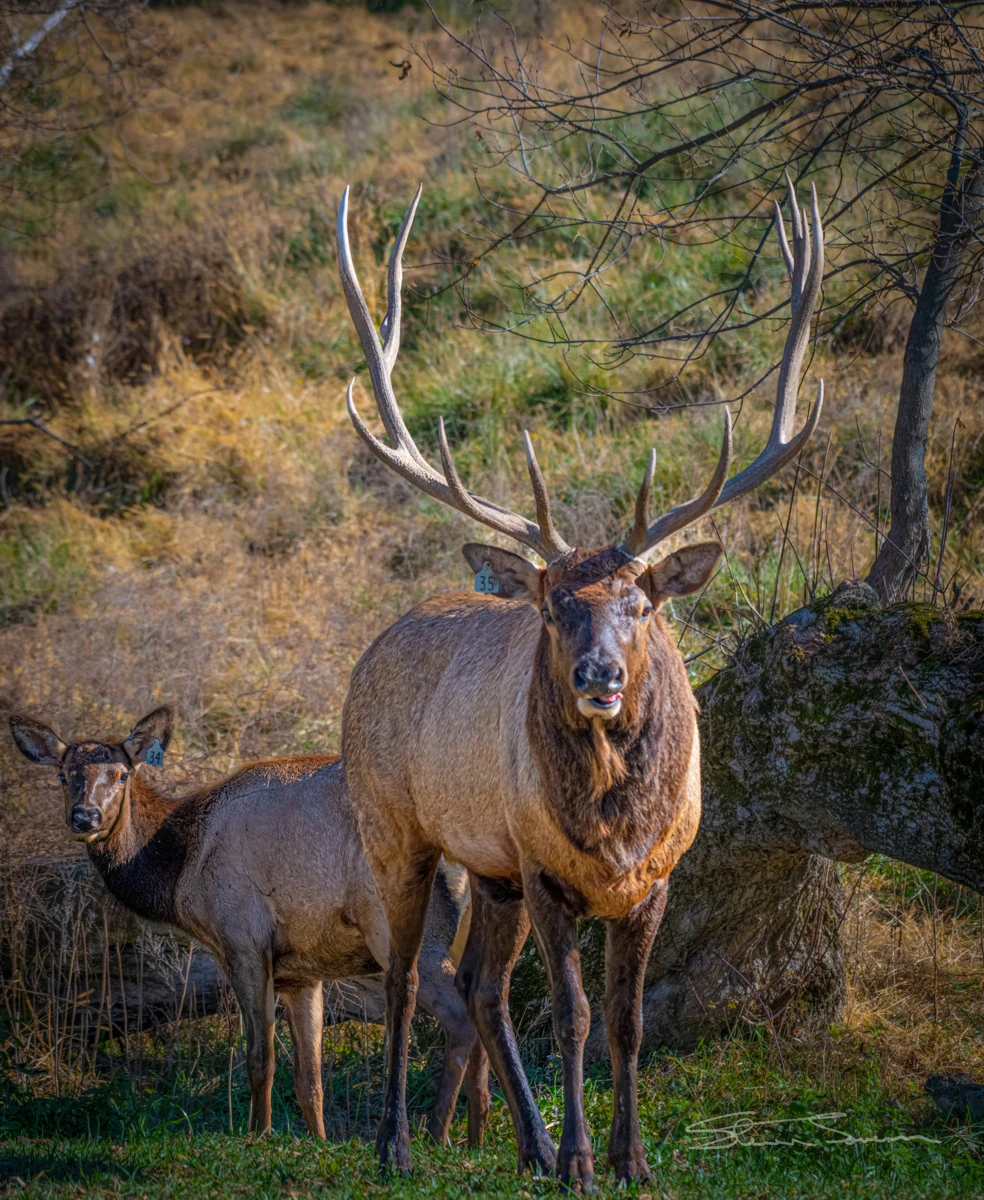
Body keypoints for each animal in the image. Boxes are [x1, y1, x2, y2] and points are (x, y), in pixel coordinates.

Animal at [9, 706, 490, 1144]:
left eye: (122, 774)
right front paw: (317, 1140)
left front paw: (259, 1134)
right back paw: (477, 1139)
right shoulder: (302, 970)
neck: (180, 871)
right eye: (63, 775)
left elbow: (260, 1058)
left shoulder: (242, 941)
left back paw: (436, 1133)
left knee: (460, 1018)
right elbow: (309, 1078)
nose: (84, 817)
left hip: (410, 935)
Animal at [334, 175, 824, 1190]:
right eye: (556, 603)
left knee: (477, 987)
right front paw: (584, 1161)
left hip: (490, 870)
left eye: (642, 602)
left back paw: (521, 1144)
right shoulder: (547, 869)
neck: (612, 832)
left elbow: (628, 1025)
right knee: (406, 977)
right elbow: (573, 1017)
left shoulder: (655, 874)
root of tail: (378, 642)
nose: (601, 675)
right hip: (397, 827)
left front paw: (632, 1160)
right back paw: (399, 1142)